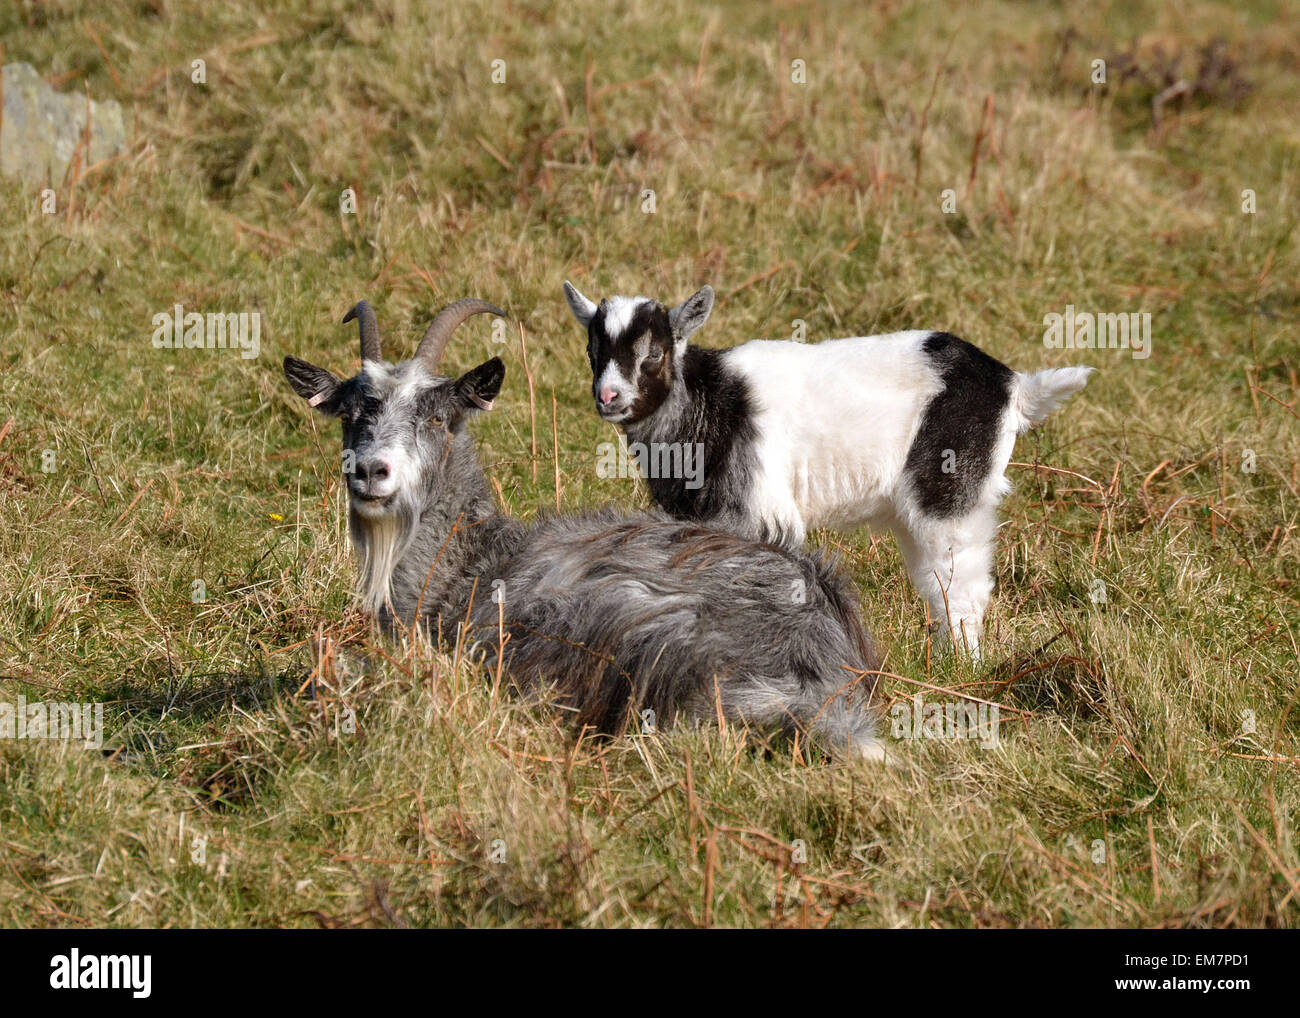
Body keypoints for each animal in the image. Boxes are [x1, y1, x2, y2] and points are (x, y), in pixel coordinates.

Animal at [563, 281, 1093, 656]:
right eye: (592, 352)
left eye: (654, 353)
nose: (608, 396)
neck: (707, 400)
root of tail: (1016, 387)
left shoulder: (762, 509)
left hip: (950, 485)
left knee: (961, 579)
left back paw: (963, 664)